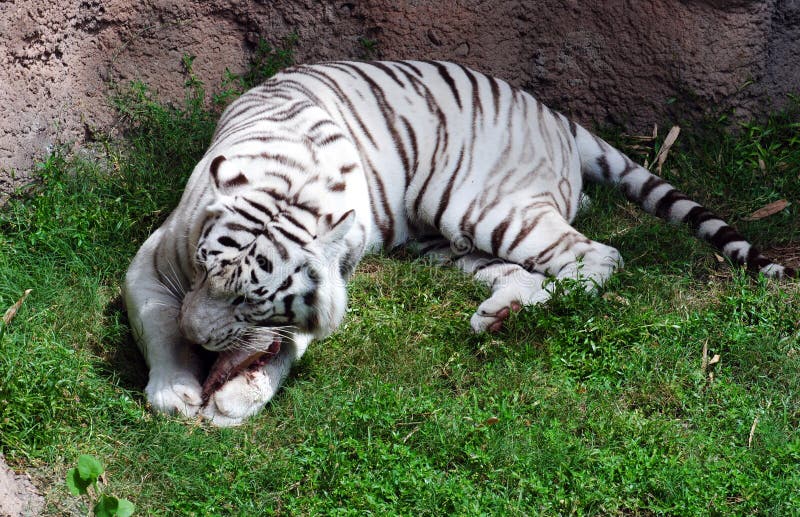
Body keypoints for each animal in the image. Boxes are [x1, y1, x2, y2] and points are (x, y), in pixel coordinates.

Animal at [123, 60, 795, 427]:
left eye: (251, 301)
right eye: (204, 270)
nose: (198, 333)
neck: (288, 188)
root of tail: (555, 113)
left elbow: (276, 350)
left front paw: (234, 399)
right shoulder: (153, 264)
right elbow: (157, 323)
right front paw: (175, 388)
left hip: (482, 207)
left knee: (599, 255)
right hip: (442, 239)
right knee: (524, 272)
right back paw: (501, 315)